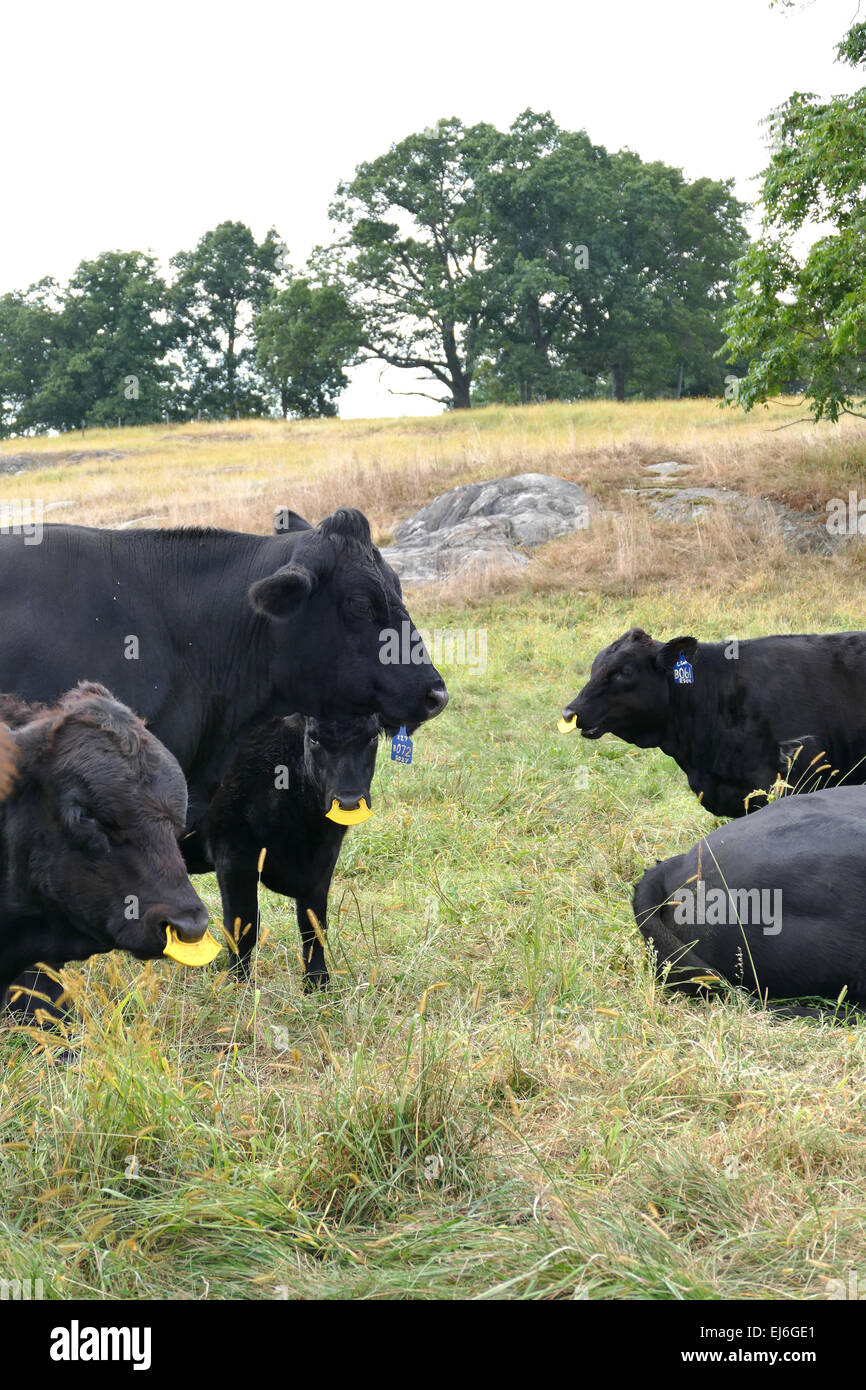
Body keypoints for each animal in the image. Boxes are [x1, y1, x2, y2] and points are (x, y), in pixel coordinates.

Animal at [203, 712, 381, 990]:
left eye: (373, 736)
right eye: (314, 738)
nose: (349, 801)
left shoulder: (323, 861)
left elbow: (313, 923)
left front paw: (317, 983)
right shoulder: (232, 854)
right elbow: (242, 924)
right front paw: (240, 984)